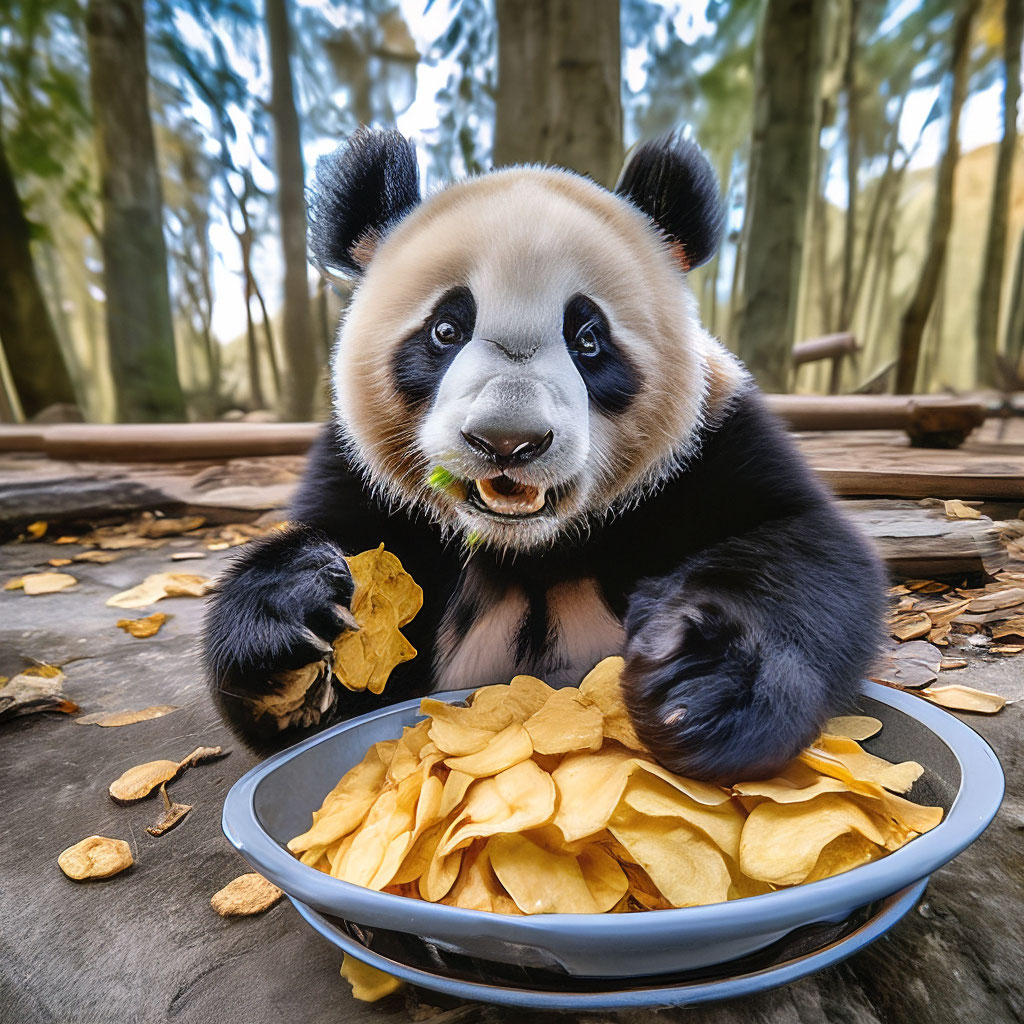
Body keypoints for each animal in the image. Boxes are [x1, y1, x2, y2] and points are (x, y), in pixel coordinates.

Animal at [203, 126, 885, 782]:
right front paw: (289, 631)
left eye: (588, 337)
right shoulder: (364, 483)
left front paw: (704, 689)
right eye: (445, 329)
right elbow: (360, 652)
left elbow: (801, 547)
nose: (508, 439)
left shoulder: (709, 444)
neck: (529, 549)